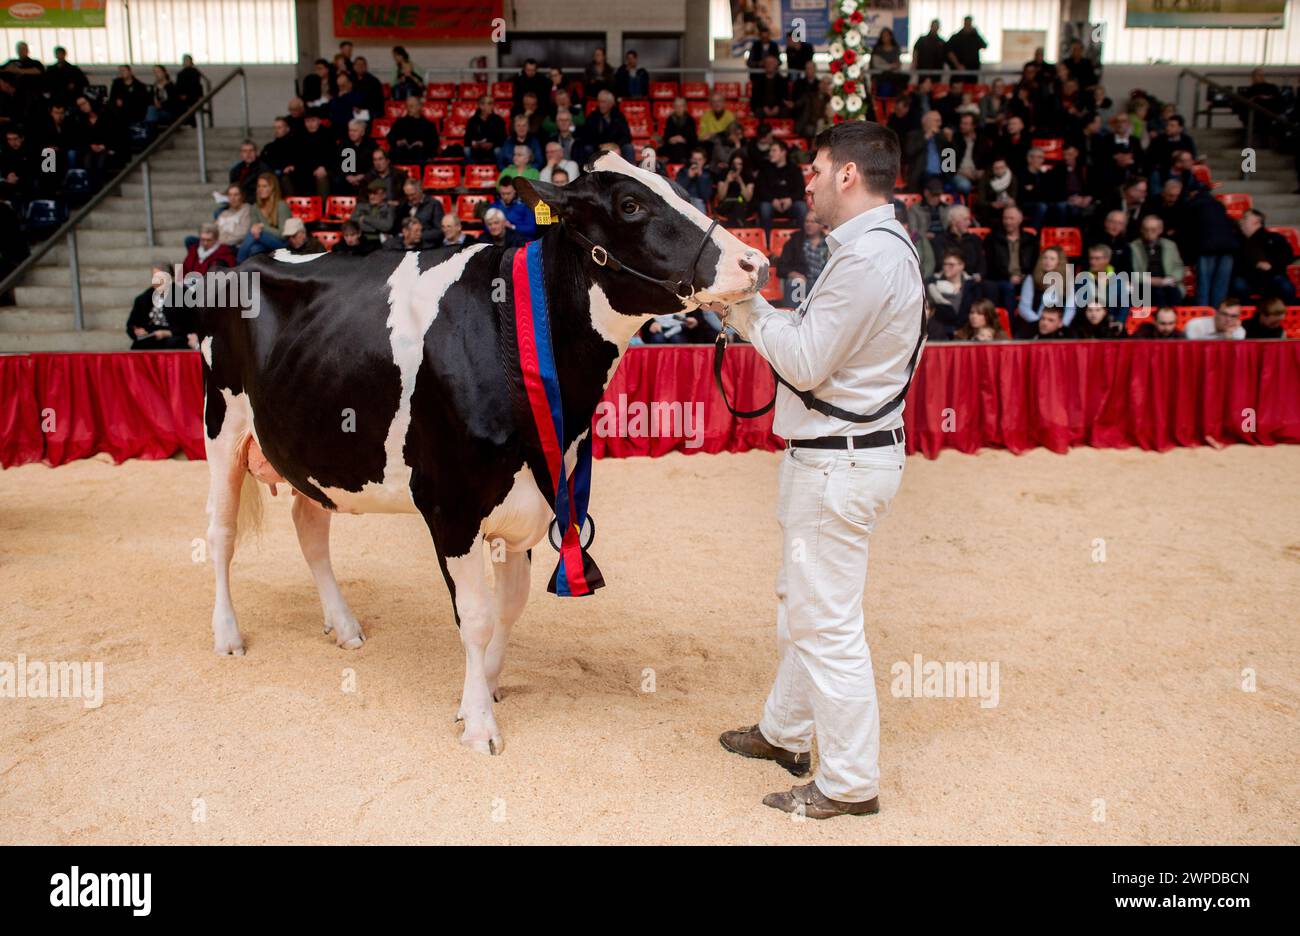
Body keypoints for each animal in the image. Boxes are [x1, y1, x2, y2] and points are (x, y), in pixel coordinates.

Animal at [199, 152, 769, 754]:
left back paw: (345, 626)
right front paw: (478, 722)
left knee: (310, 525)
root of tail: (248, 258)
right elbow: (474, 616)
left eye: (678, 186)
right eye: (631, 205)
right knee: (221, 532)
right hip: (222, 425)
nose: (755, 261)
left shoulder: (534, 495)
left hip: (310, 446)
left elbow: (509, 606)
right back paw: (228, 634)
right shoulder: (452, 506)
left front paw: (489, 685)